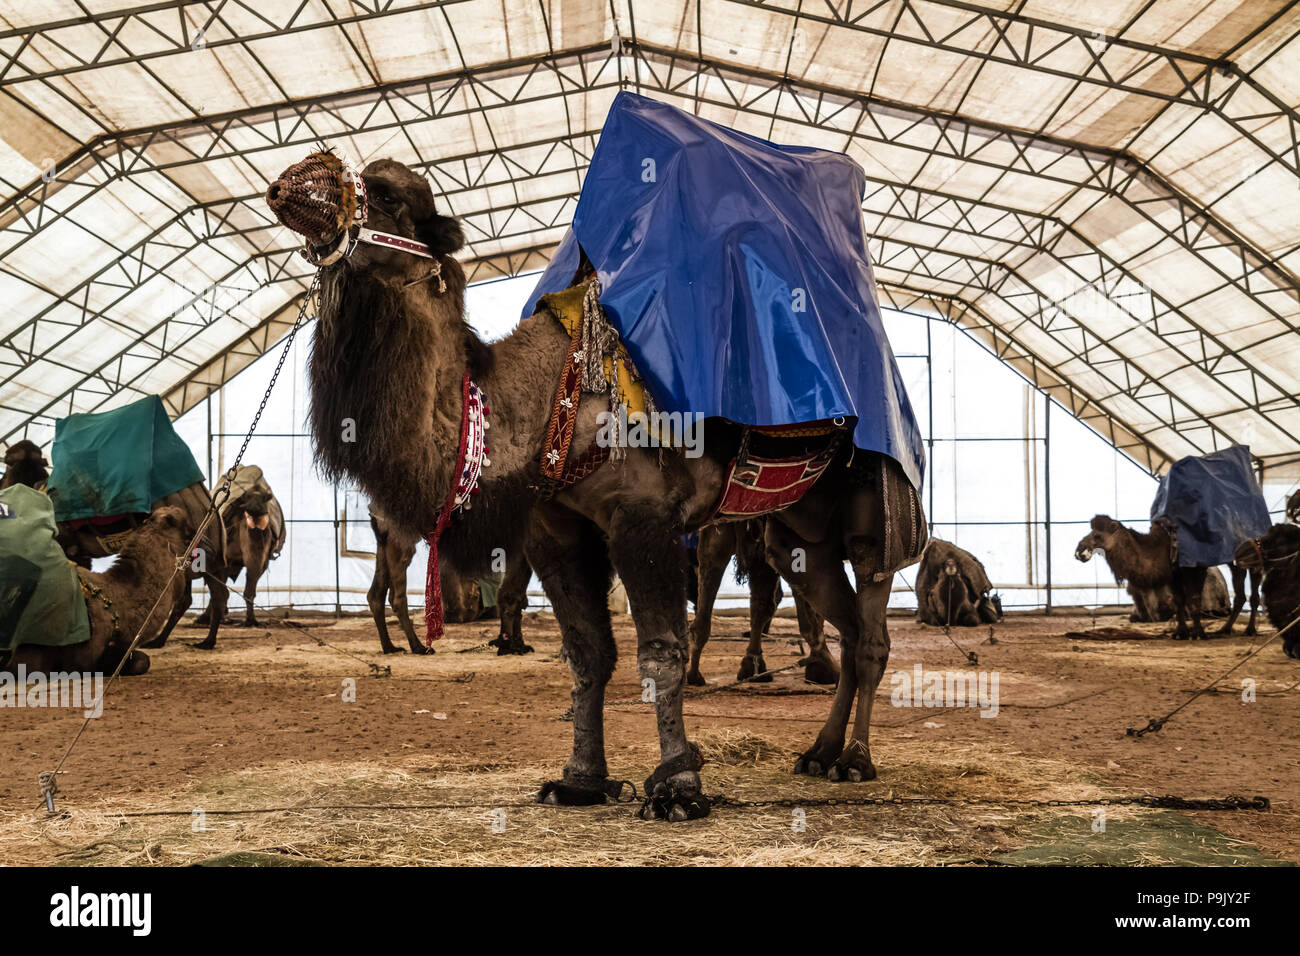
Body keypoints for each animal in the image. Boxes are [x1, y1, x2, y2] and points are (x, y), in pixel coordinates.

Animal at [1075, 515, 1258, 640]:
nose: (1079, 550)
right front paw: (1180, 633)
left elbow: (1194, 599)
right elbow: (1179, 600)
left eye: (1097, 535)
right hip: (1236, 563)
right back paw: (1225, 629)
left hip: (1253, 559)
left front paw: (1198, 633)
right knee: (1240, 595)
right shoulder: (1172, 574)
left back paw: (1249, 630)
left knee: (1253, 594)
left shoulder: (1197, 568)